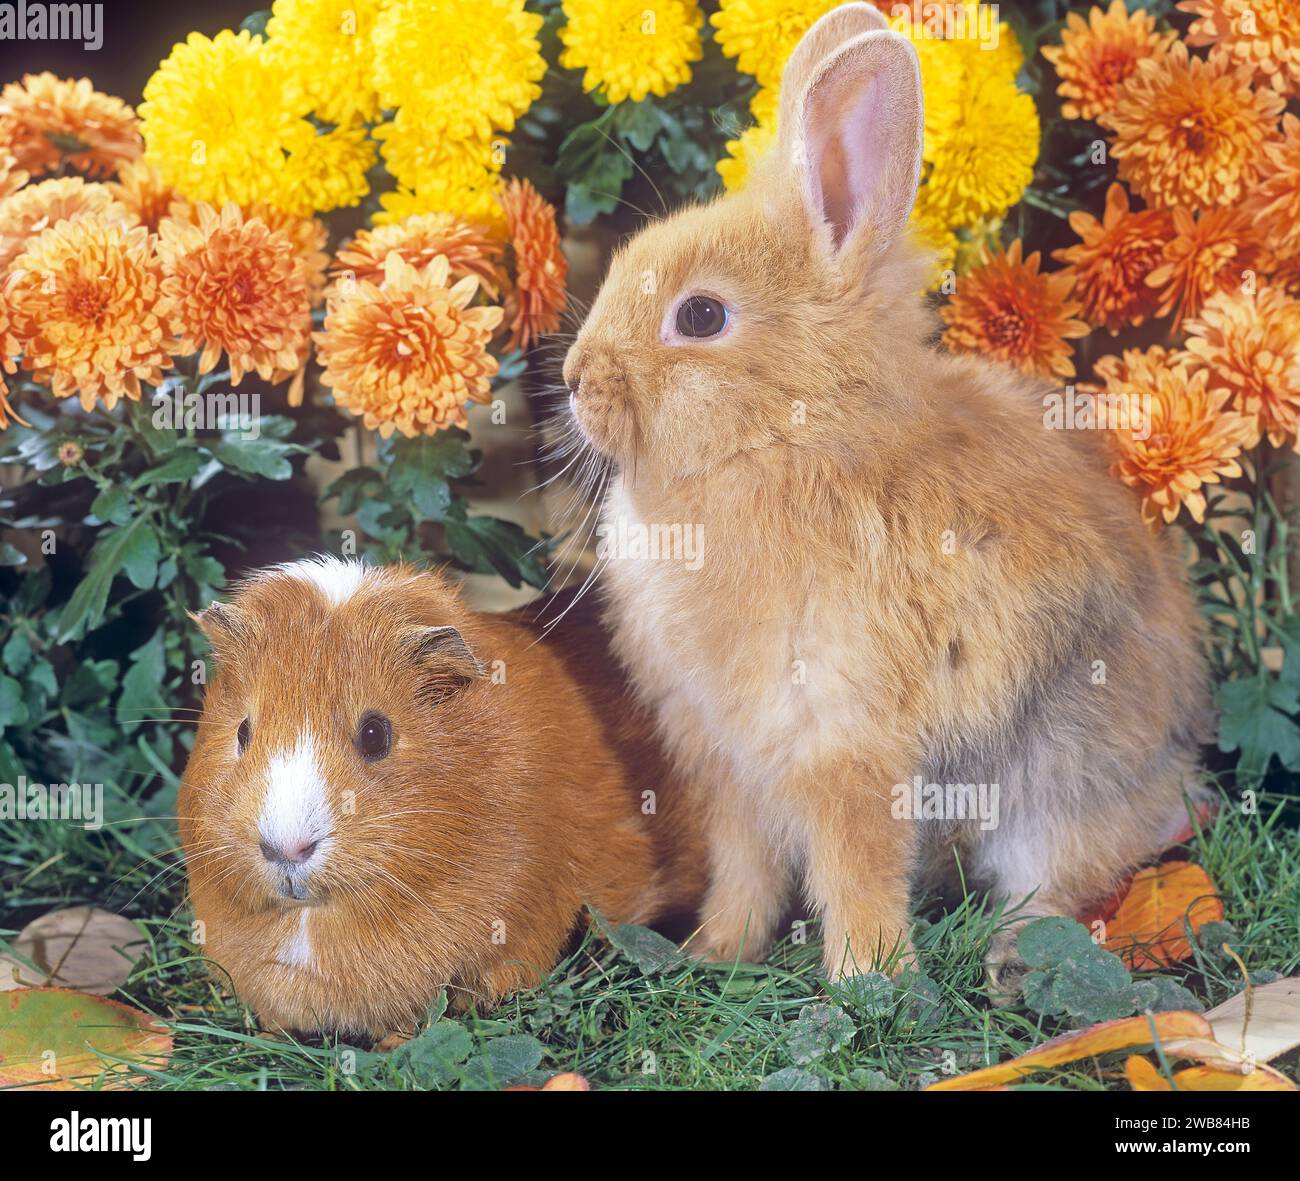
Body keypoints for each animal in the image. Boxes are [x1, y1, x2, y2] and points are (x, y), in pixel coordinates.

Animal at [560, 3, 1210, 988]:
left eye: (701, 316)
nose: (572, 378)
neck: (785, 438)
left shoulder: (847, 743)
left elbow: (856, 867)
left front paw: (868, 978)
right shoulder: (728, 762)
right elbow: (745, 869)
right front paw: (716, 950)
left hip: (1060, 774)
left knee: (1065, 875)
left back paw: (1009, 958)